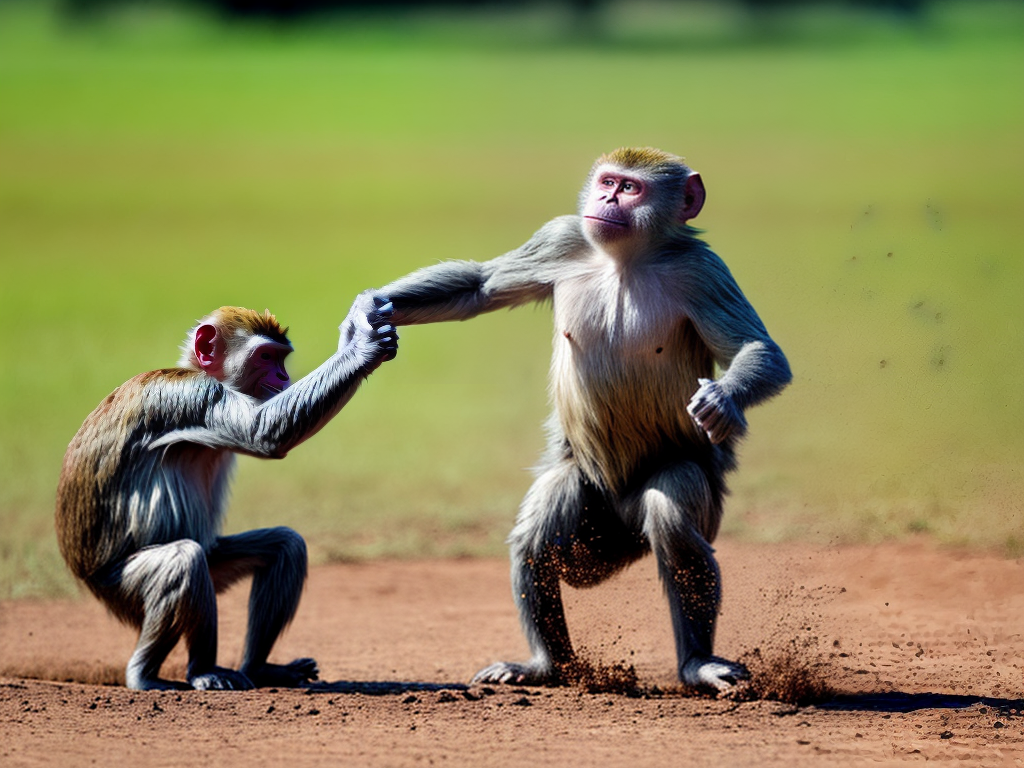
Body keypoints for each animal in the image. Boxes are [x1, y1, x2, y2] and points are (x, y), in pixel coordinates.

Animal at [55, 298, 397, 691]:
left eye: (281, 358)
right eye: (265, 357)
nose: (284, 379)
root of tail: (80, 568)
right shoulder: (193, 396)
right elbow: (263, 433)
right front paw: (363, 348)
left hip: (212, 561)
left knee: (281, 546)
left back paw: (252, 668)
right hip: (115, 586)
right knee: (184, 561)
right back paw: (156, 673)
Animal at [369, 147, 791, 692]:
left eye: (631, 188)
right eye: (609, 182)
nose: (607, 200)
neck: (624, 261)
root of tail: (622, 526)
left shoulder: (702, 270)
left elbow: (756, 348)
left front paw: (723, 402)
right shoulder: (564, 237)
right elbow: (481, 286)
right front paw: (367, 311)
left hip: (689, 498)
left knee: (671, 517)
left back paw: (697, 661)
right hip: (588, 496)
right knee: (539, 533)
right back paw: (548, 665)